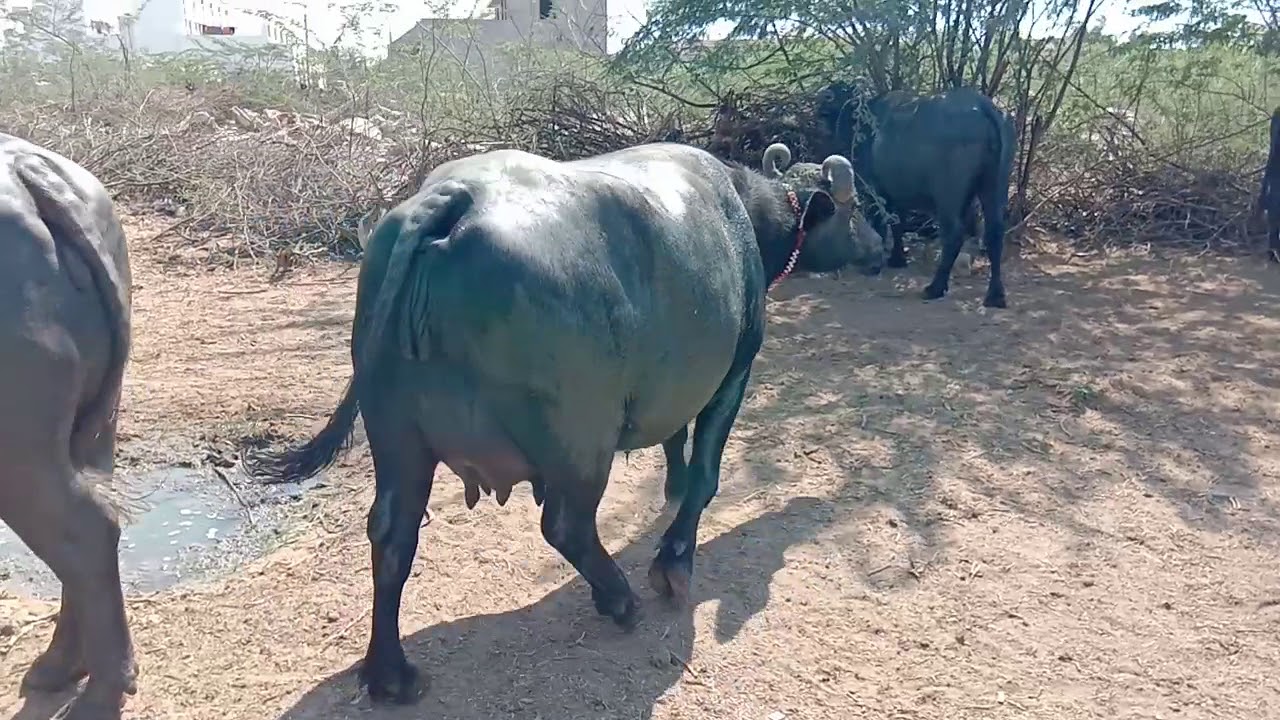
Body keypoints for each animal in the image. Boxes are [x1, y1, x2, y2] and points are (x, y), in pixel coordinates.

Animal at [245, 141, 875, 703]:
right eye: (858, 207)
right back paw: (618, 599)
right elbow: (705, 474)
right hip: (581, 442)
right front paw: (673, 561)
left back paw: (391, 675)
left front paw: (670, 489)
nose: (883, 243)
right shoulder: (734, 372)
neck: (741, 212)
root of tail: (450, 198)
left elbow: (674, 442)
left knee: (392, 534)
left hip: (398, 439)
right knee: (566, 526)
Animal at [817, 82, 1017, 308]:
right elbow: (898, 225)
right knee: (994, 233)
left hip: (948, 195)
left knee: (954, 234)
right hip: (995, 186)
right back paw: (995, 295)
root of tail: (983, 106)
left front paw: (875, 264)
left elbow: (880, 224)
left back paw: (935, 288)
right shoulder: (898, 194)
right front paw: (897, 259)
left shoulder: (874, 189)